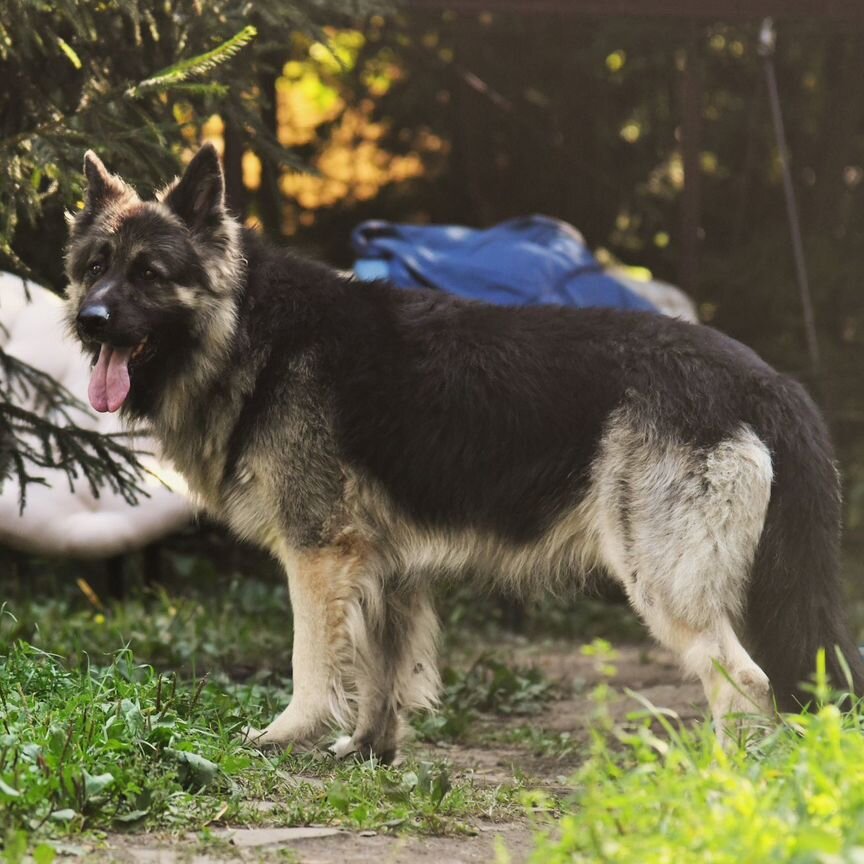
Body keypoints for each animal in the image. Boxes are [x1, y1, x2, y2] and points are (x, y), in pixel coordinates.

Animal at [66, 145, 864, 760]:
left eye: (148, 273)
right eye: (96, 266)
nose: (90, 320)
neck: (251, 328)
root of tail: (766, 380)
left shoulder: (317, 556)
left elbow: (314, 662)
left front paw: (288, 736)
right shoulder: (383, 570)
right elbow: (381, 671)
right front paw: (367, 752)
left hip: (667, 584)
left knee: (747, 683)